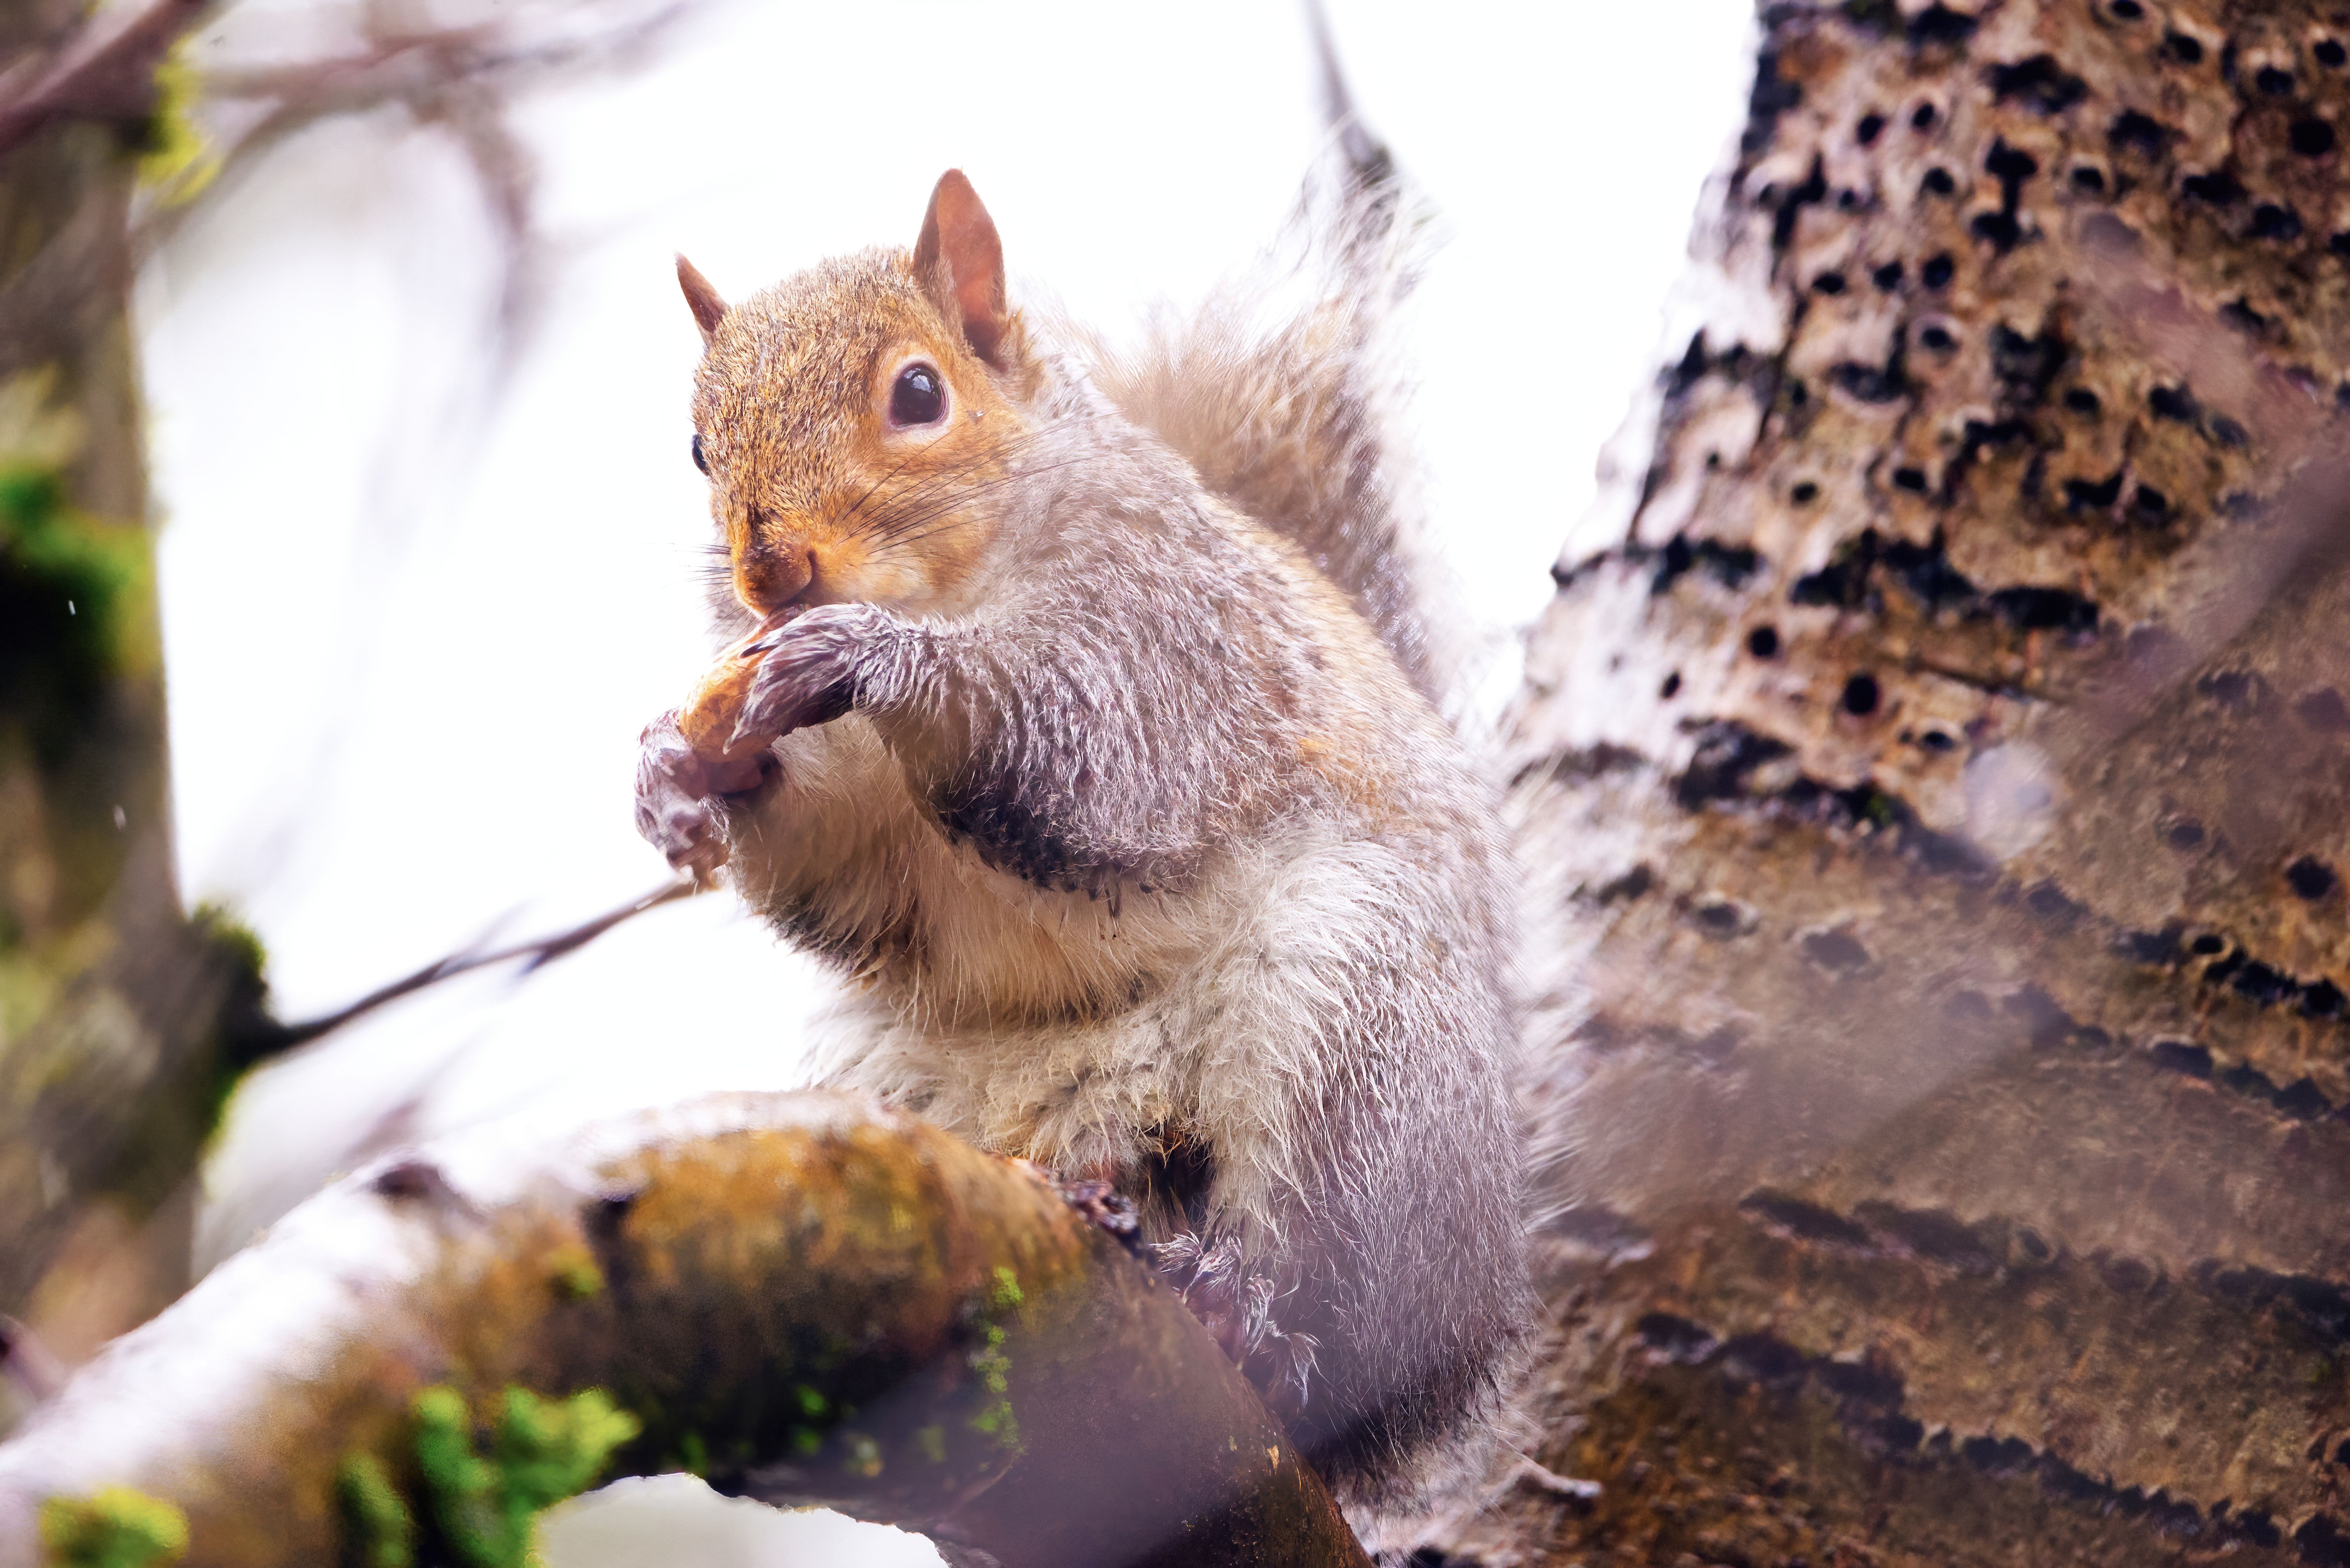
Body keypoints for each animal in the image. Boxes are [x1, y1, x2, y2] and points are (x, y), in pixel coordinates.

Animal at [632, 129, 1529, 1499]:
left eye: (916, 394)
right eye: (695, 446)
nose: (772, 571)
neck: (954, 584)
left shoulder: (1173, 637)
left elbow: (1105, 755)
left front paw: (877, 660)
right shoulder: (855, 816)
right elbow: (844, 871)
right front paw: (674, 770)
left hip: (1361, 1038)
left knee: (1333, 1296)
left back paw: (1245, 1315)